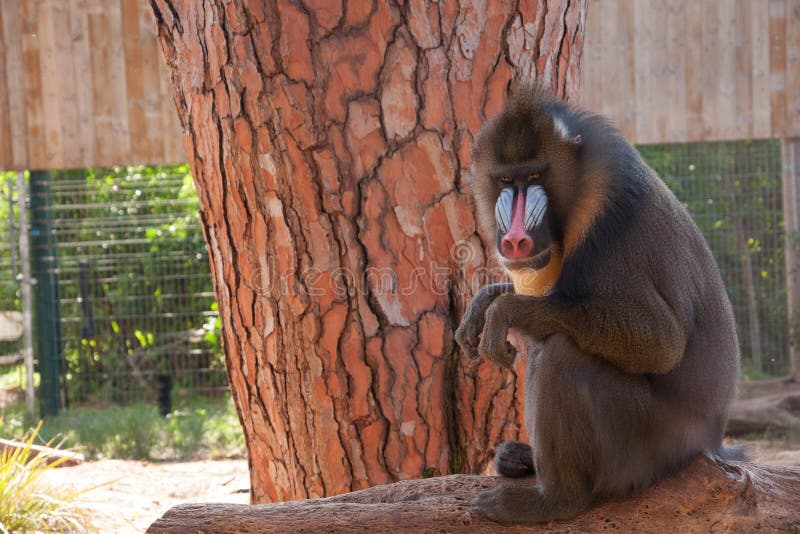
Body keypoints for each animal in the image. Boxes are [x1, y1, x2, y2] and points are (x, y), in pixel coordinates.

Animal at [455, 86, 742, 523]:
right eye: (506, 180)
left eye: (535, 177)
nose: (515, 240)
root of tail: (708, 445)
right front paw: (485, 301)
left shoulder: (608, 221)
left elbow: (662, 343)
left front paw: (504, 310)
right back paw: (521, 459)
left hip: (643, 446)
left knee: (561, 354)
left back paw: (554, 501)